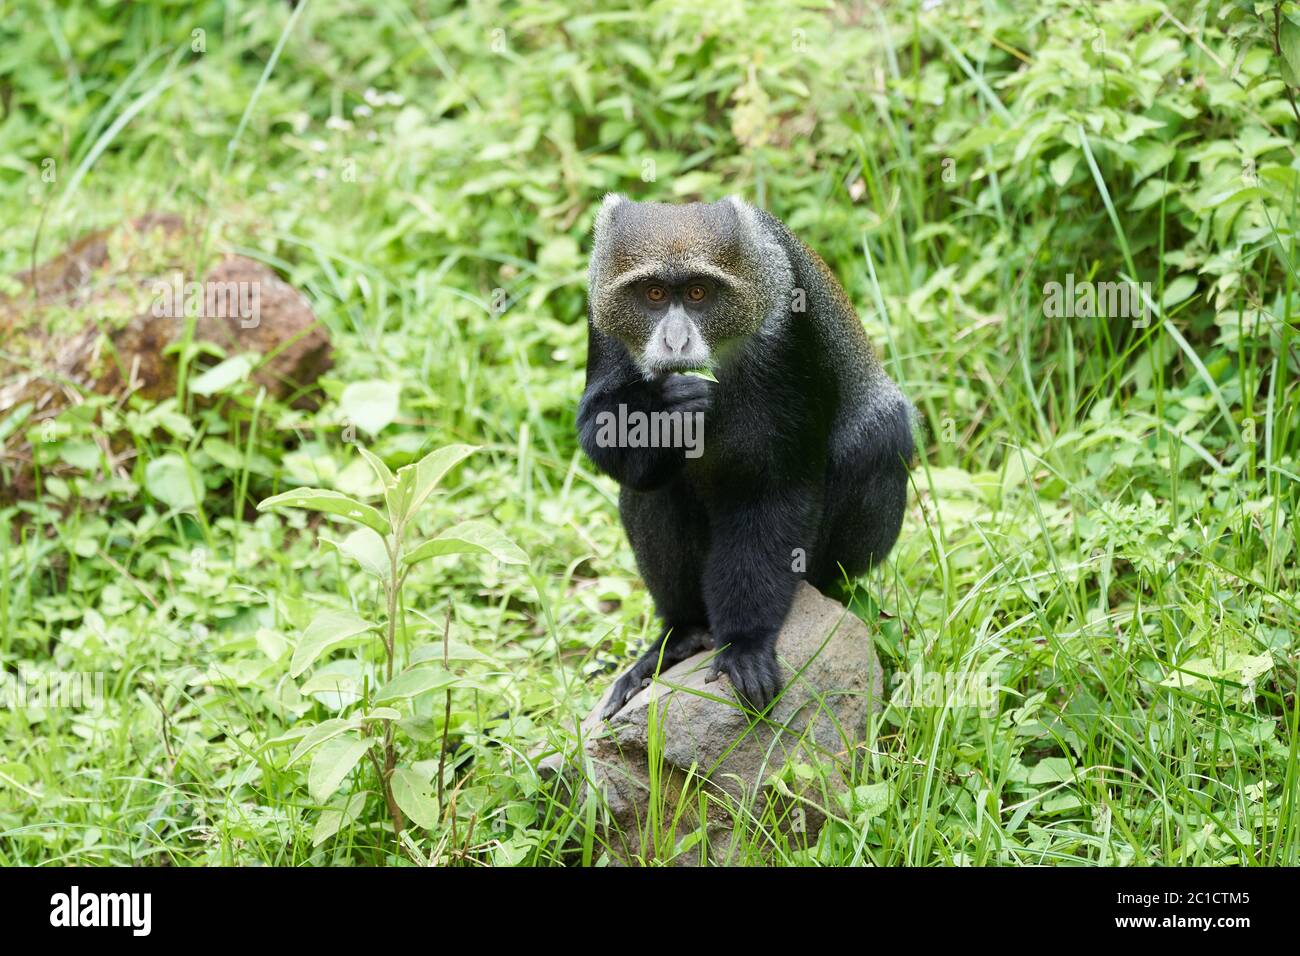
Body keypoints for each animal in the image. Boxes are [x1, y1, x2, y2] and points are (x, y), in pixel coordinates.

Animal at [578, 195, 915, 720]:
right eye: (653, 294)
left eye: (698, 292)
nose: (675, 342)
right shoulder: (603, 319)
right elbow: (602, 428)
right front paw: (663, 409)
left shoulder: (788, 329)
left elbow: (774, 490)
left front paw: (745, 644)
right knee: (653, 488)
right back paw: (681, 634)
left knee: (881, 439)